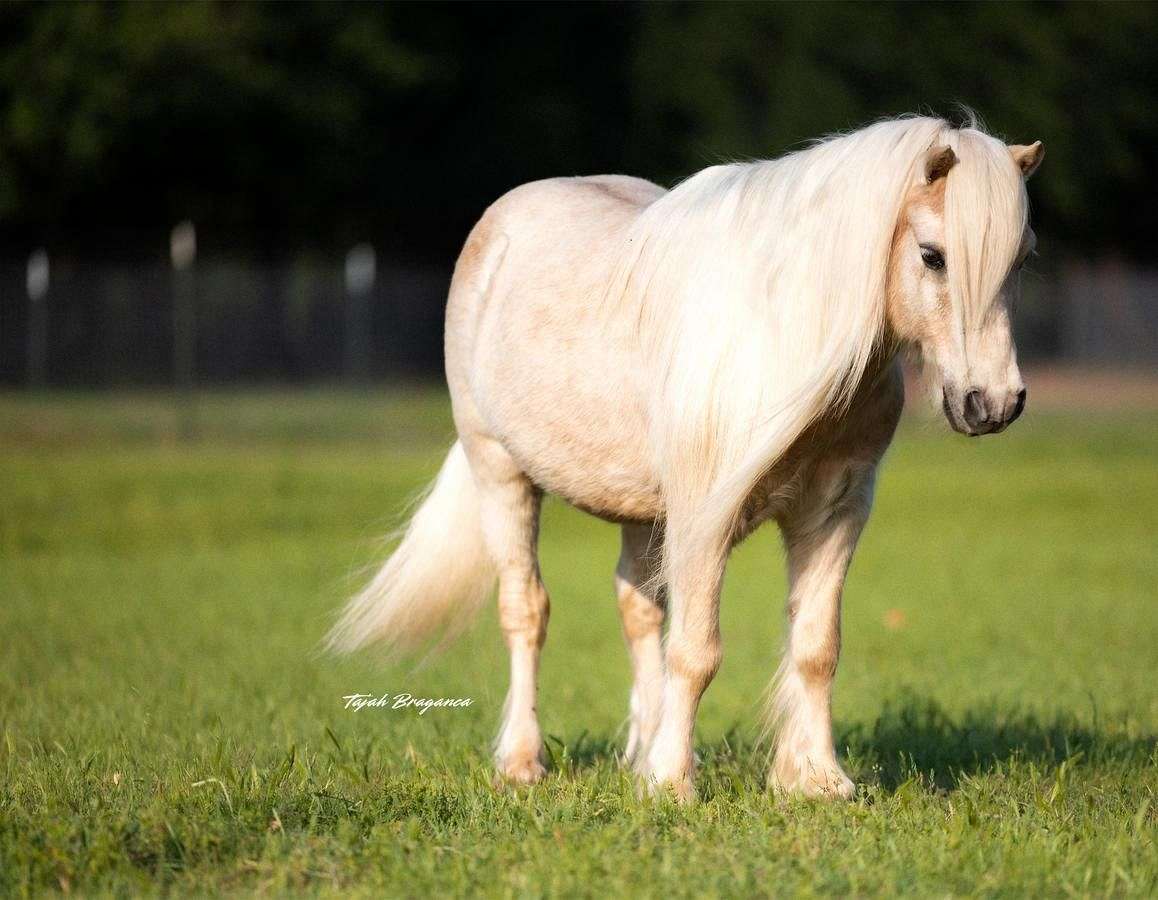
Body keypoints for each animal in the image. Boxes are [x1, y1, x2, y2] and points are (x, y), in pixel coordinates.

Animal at [328, 115, 1044, 801]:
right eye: (933, 256)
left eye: (1021, 260)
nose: (994, 403)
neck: (780, 332)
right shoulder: (705, 515)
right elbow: (696, 652)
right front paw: (674, 784)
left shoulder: (835, 509)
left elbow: (816, 648)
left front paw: (816, 780)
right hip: (500, 472)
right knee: (525, 610)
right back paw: (524, 762)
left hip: (640, 510)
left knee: (638, 608)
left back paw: (638, 755)